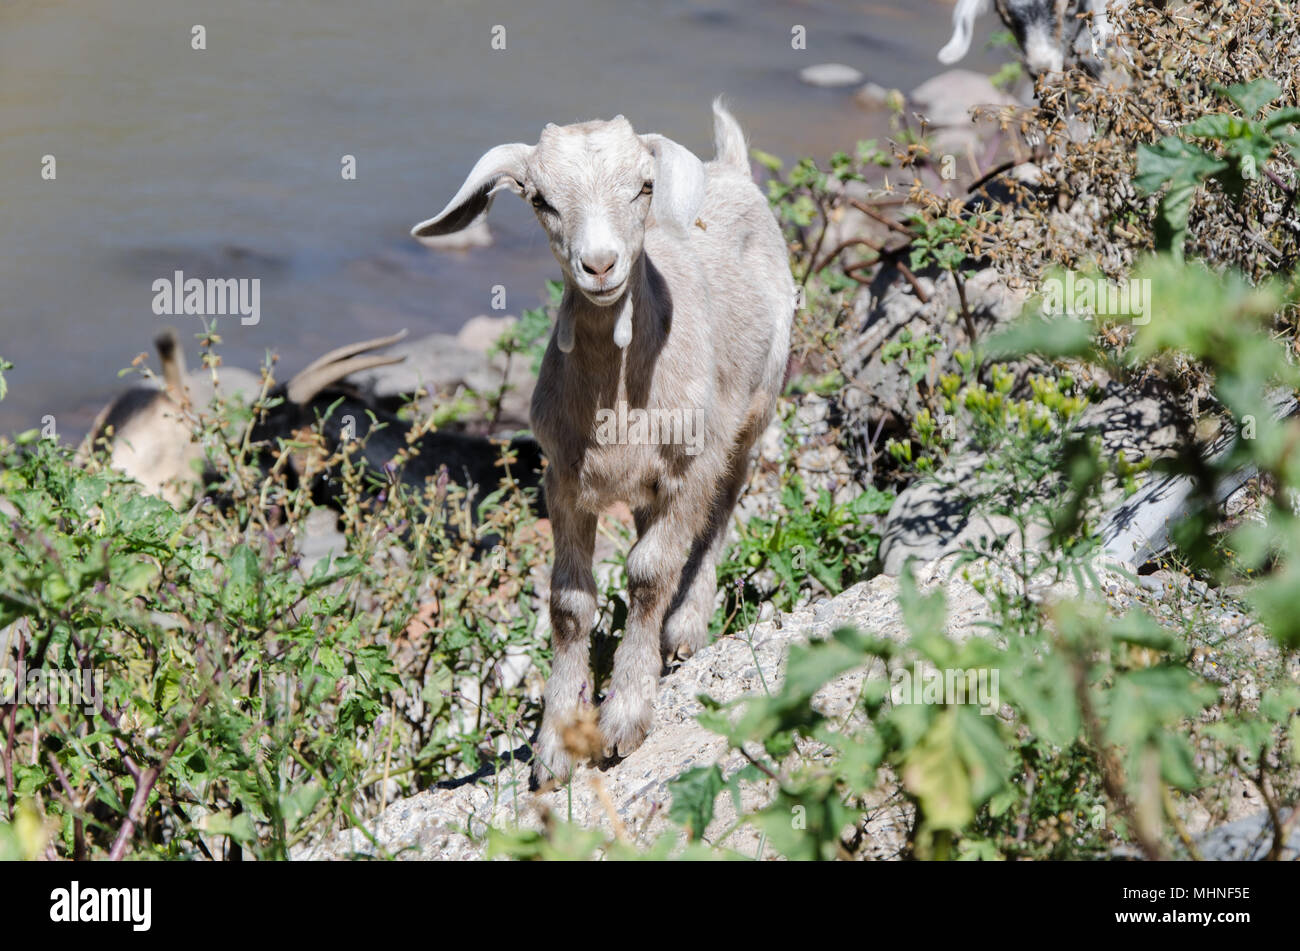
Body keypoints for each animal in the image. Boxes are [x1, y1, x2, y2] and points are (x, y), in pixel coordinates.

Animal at [412, 99, 793, 789]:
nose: (599, 265)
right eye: (540, 199)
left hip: (756, 408)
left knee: (722, 512)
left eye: (643, 187)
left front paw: (626, 717)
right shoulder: (563, 479)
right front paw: (556, 746)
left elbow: (648, 572)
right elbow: (569, 602)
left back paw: (686, 628)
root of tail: (731, 166)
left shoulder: (688, 467)